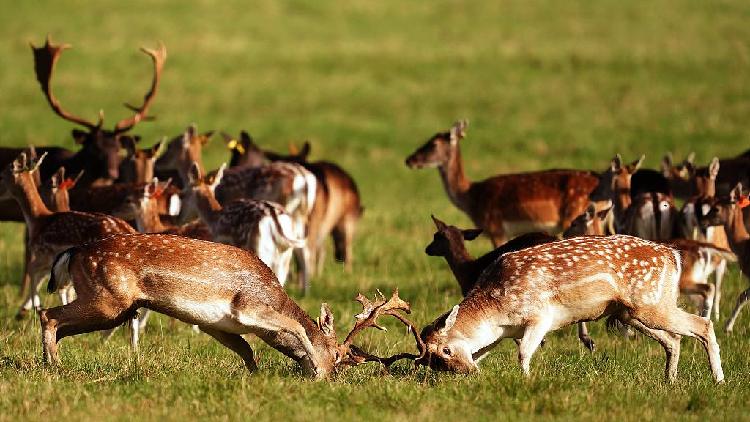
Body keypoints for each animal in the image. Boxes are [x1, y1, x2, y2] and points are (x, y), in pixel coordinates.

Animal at [42, 234, 422, 379]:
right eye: (339, 354)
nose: (330, 377)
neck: (274, 294)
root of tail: (71, 253)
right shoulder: (247, 306)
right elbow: (294, 326)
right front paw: (312, 363)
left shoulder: (218, 325)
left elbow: (246, 350)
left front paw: (256, 377)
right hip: (109, 300)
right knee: (48, 315)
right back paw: (53, 367)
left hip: (114, 306)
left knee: (55, 322)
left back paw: (51, 365)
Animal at [413, 235, 725, 383]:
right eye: (433, 362)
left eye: (446, 350)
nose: (467, 373)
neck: (497, 312)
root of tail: (674, 256)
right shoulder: (502, 334)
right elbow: (484, 351)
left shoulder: (540, 315)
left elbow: (524, 352)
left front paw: (526, 380)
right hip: (632, 312)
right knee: (674, 339)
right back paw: (669, 381)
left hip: (651, 304)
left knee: (703, 325)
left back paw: (718, 381)